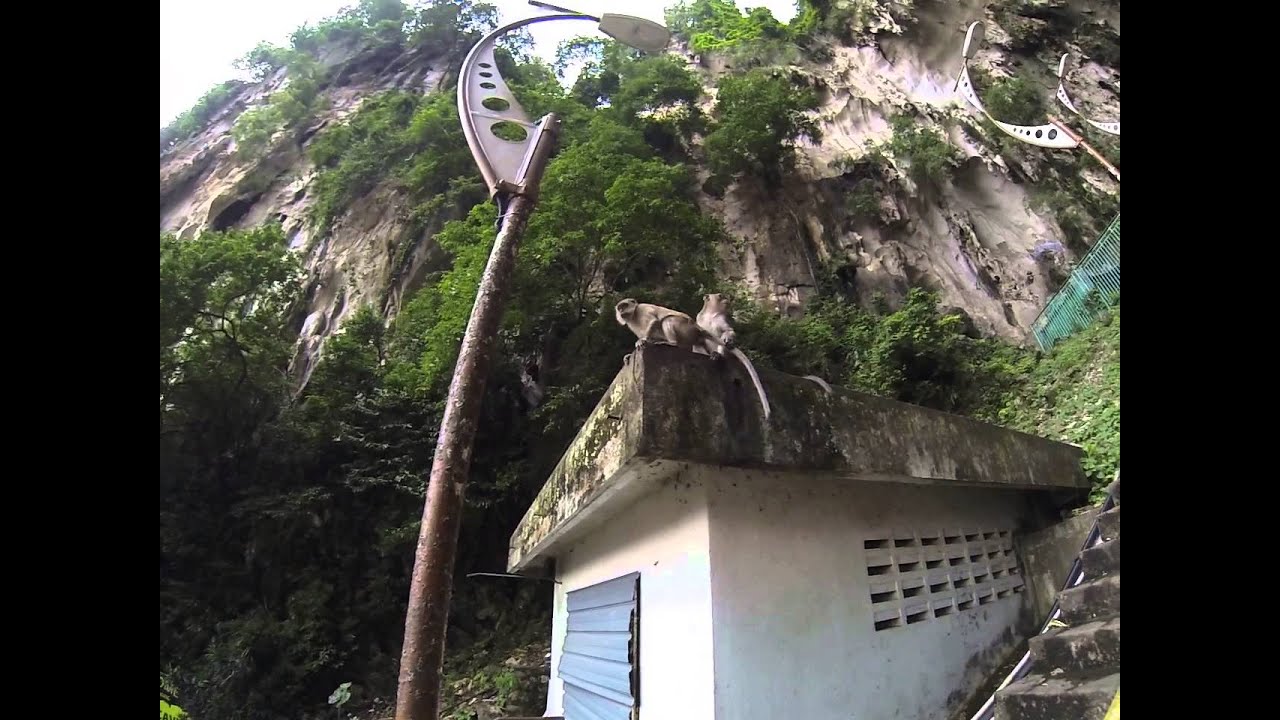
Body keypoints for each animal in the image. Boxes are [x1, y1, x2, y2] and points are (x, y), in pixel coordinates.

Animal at [615, 298, 771, 420]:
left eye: (624, 306)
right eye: (619, 307)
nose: (621, 312)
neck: (633, 315)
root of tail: (698, 328)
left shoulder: (643, 309)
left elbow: (653, 321)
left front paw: (643, 341)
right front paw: (630, 353)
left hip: (685, 329)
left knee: (668, 320)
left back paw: (671, 343)